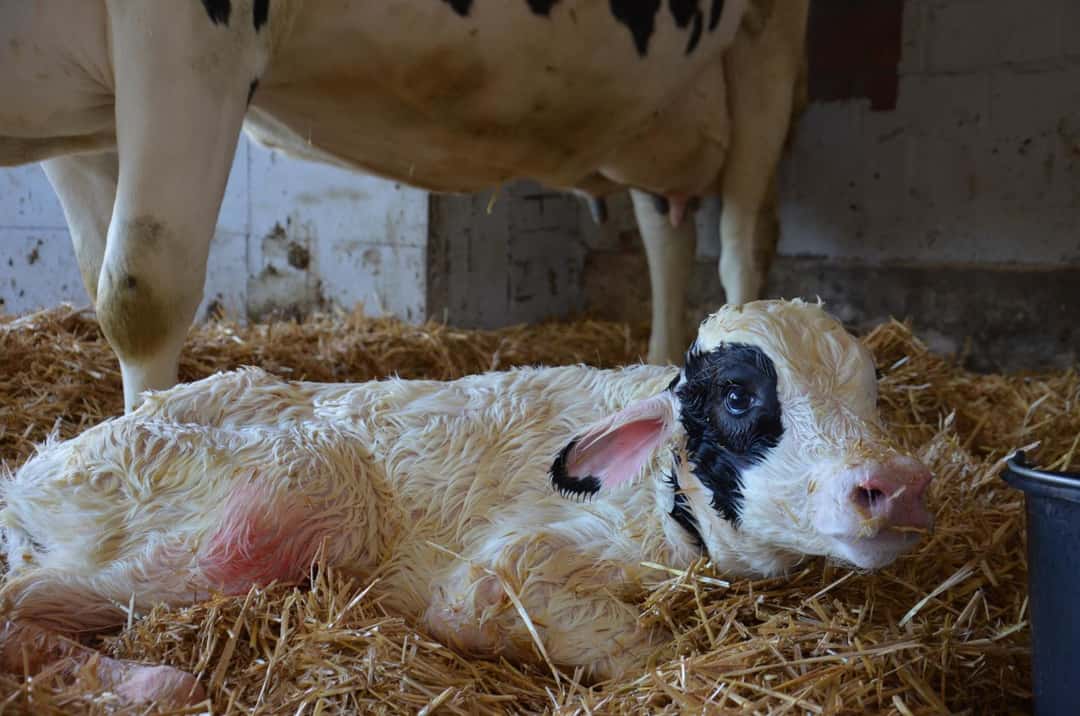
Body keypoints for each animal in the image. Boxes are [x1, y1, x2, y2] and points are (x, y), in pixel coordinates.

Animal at [0, 0, 809, 412]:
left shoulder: (187, 34)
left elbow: (141, 294)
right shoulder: (70, 117)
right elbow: (99, 271)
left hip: (768, 34)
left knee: (743, 238)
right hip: (651, 108)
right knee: (667, 229)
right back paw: (662, 366)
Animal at [0, 299, 934, 705]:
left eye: (872, 388)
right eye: (740, 397)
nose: (898, 484)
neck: (668, 499)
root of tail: (37, 468)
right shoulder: (500, 573)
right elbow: (639, 649)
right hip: (284, 496)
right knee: (20, 603)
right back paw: (149, 679)